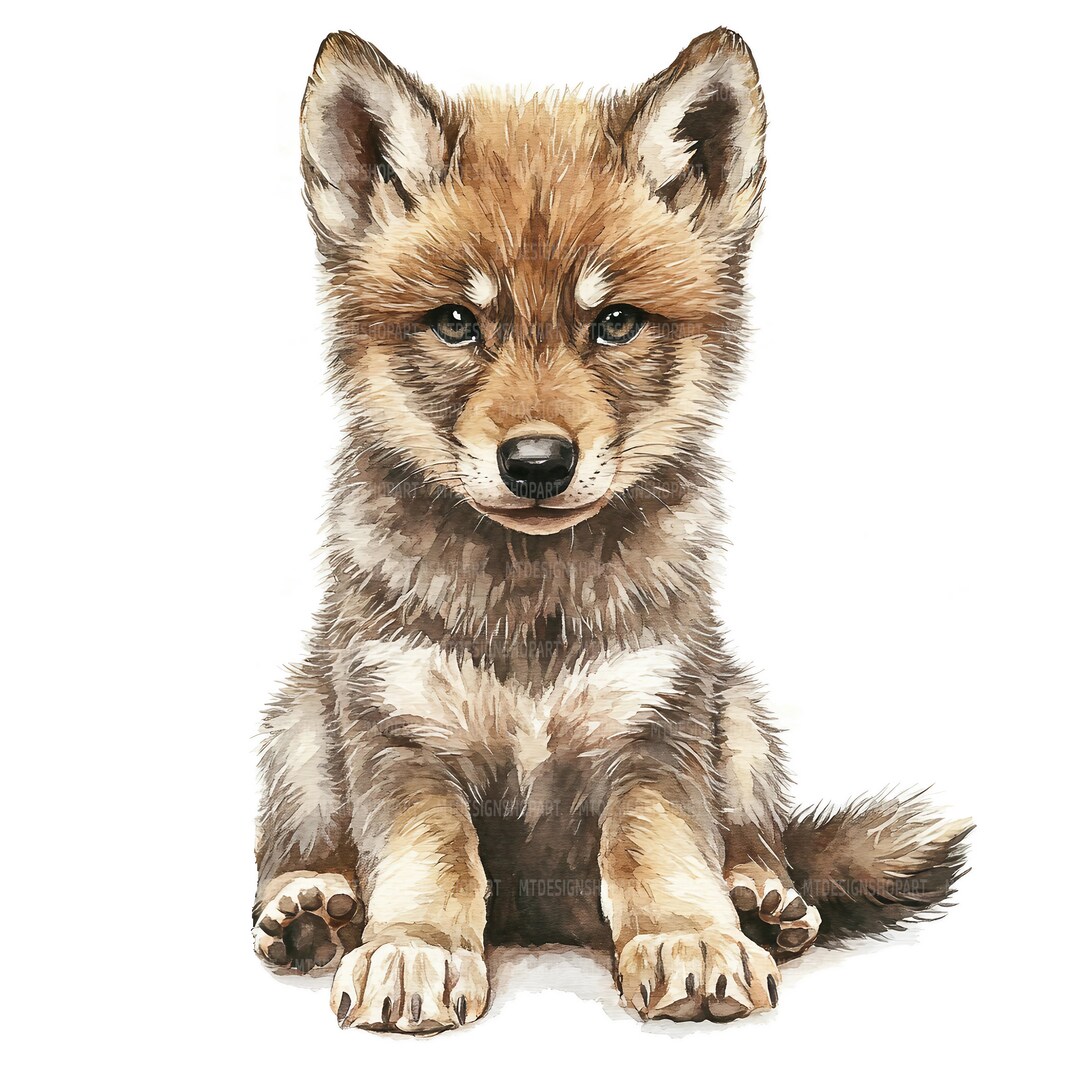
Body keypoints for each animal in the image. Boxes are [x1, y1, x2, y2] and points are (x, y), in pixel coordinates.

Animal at [253, 26, 971, 1033]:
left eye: (617, 322)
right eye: (456, 323)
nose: (537, 463)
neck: (530, 603)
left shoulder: (655, 726)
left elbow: (657, 849)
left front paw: (692, 940)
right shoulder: (400, 729)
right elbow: (428, 860)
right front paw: (413, 952)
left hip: (738, 711)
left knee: (756, 837)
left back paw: (761, 898)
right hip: (299, 718)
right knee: (296, 843)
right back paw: (310, 906)